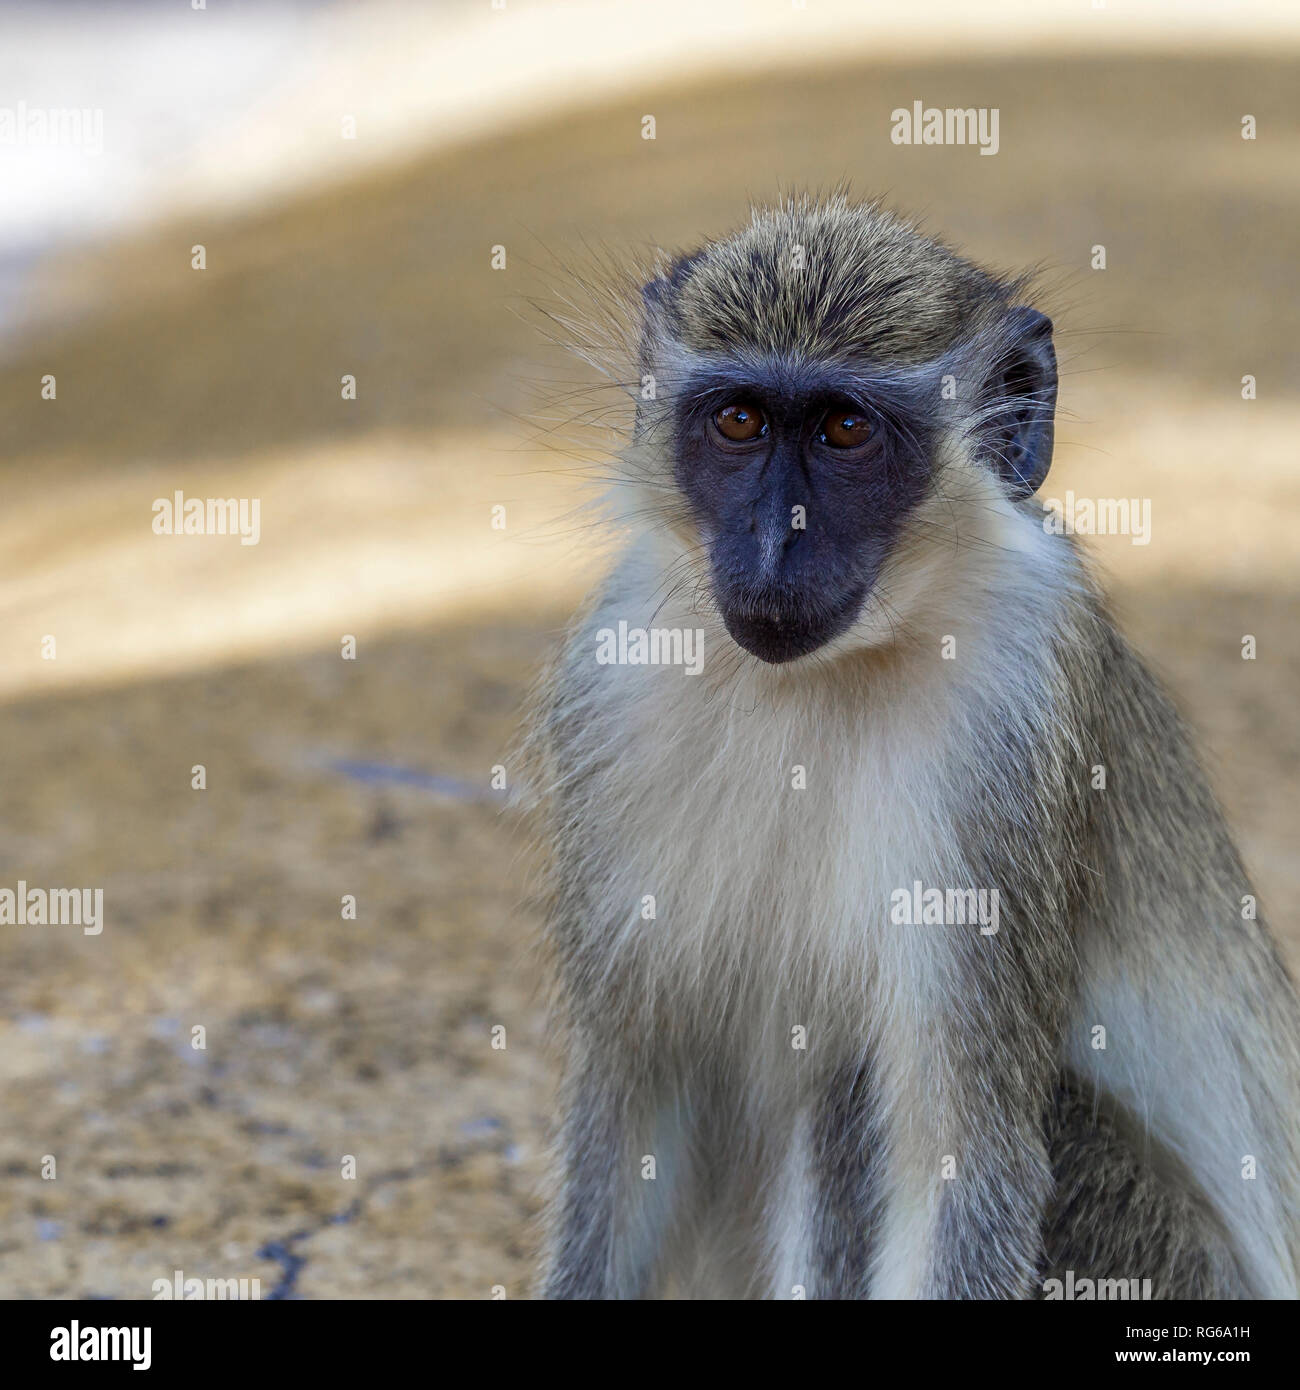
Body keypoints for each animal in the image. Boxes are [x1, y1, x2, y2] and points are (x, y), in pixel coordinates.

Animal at [525, 194, 1300, 1300]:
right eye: (738, 421)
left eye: (847, 430)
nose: (774, 544)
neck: (822, 675)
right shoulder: (610, 681)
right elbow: (628, 1103)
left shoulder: (1012, 714)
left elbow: (962, 1156)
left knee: (847, 1072)